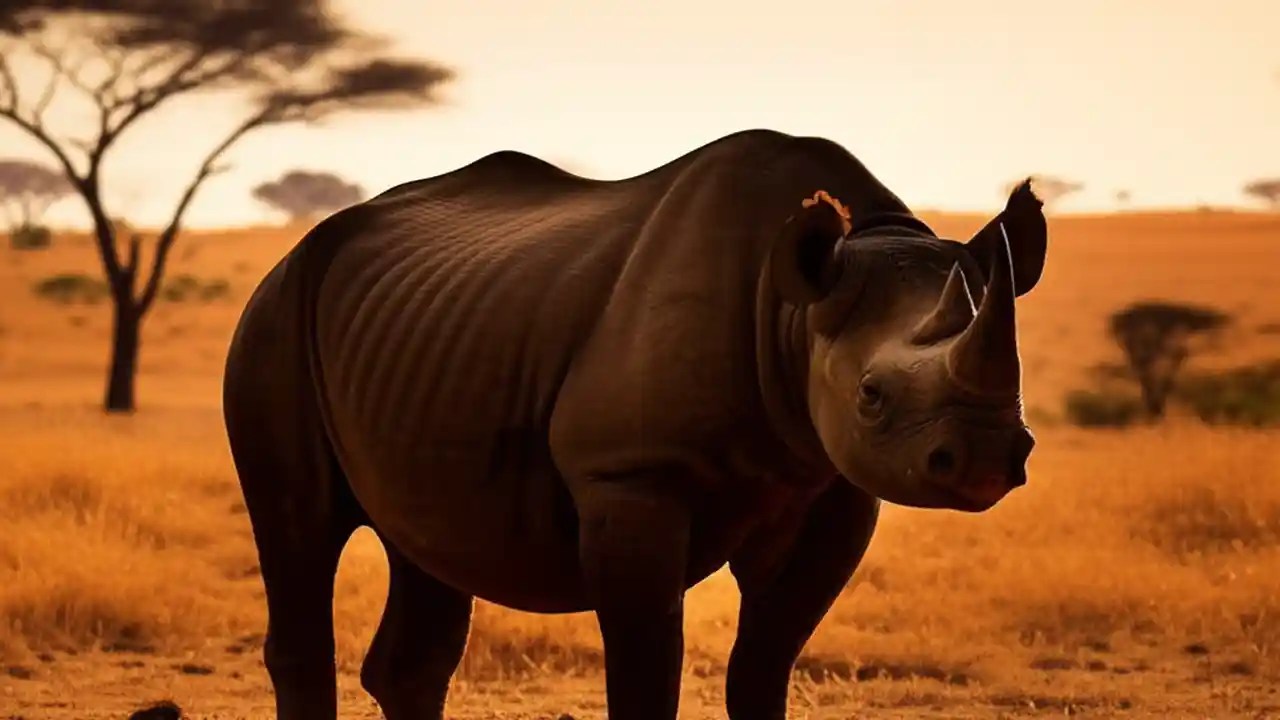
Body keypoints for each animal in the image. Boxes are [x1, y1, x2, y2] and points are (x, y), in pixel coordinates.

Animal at [223, 128, 1047, 720]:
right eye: (871, 394)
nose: (982, 460)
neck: (790, 311)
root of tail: (297, 250)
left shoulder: (831, 487)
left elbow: (763, 668)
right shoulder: (632, 475)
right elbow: (648, 675)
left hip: (422, 340)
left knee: (423, 553)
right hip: (274, 317)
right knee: (299, 528)